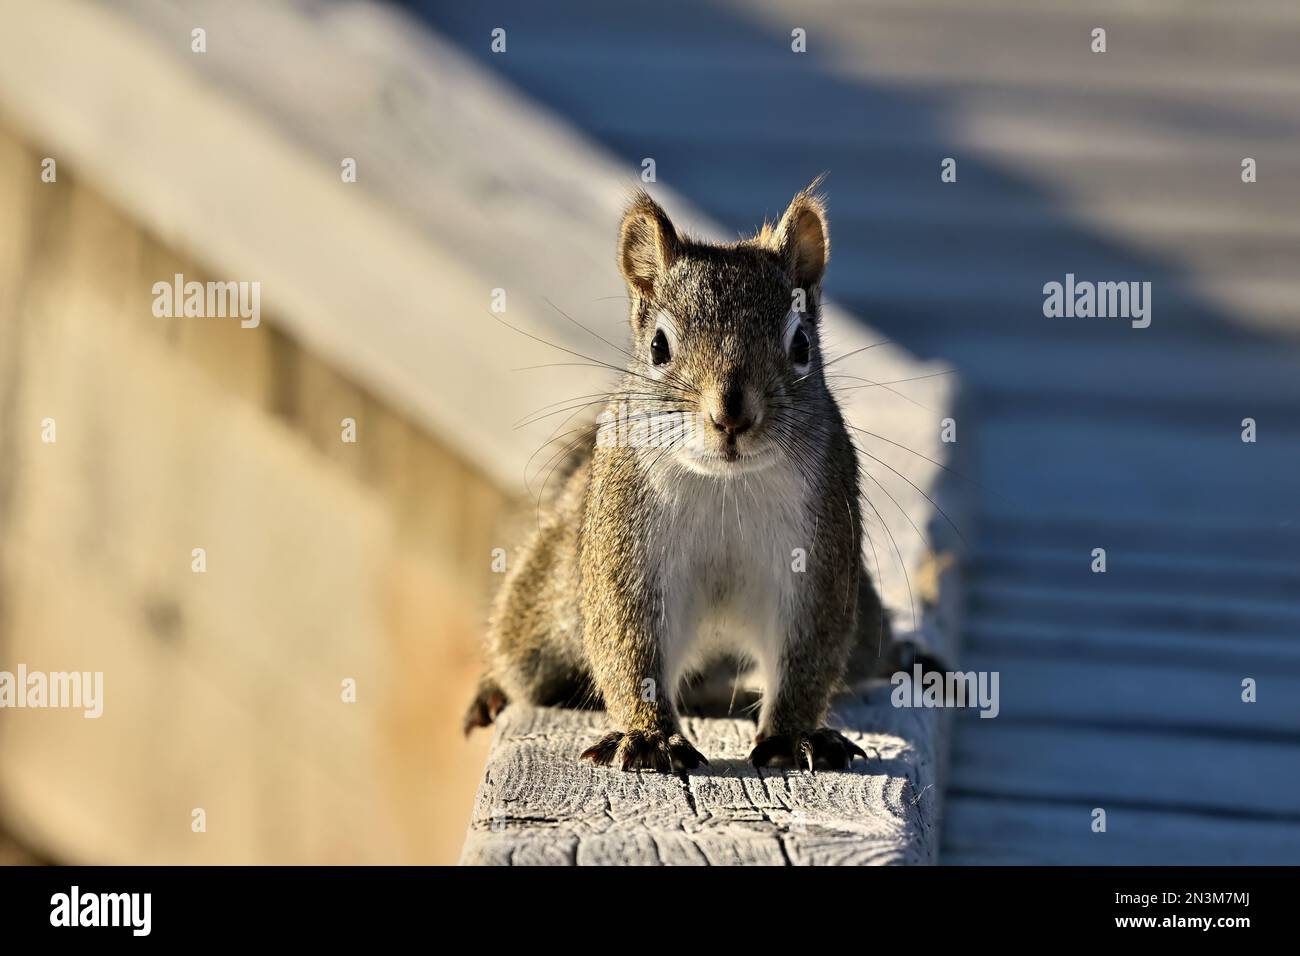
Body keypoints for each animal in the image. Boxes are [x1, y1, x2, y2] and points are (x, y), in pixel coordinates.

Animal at [465, 182, 887, 772]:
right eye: (658, 347)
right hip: (544, 615)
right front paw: (650, 737)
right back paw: (492, 688)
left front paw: (796, 736)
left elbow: (809, 654)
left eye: (801, 345)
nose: (731, 416)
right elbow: (628, 646)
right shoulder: (625, 552)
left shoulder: (819, 556)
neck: (727, 484)